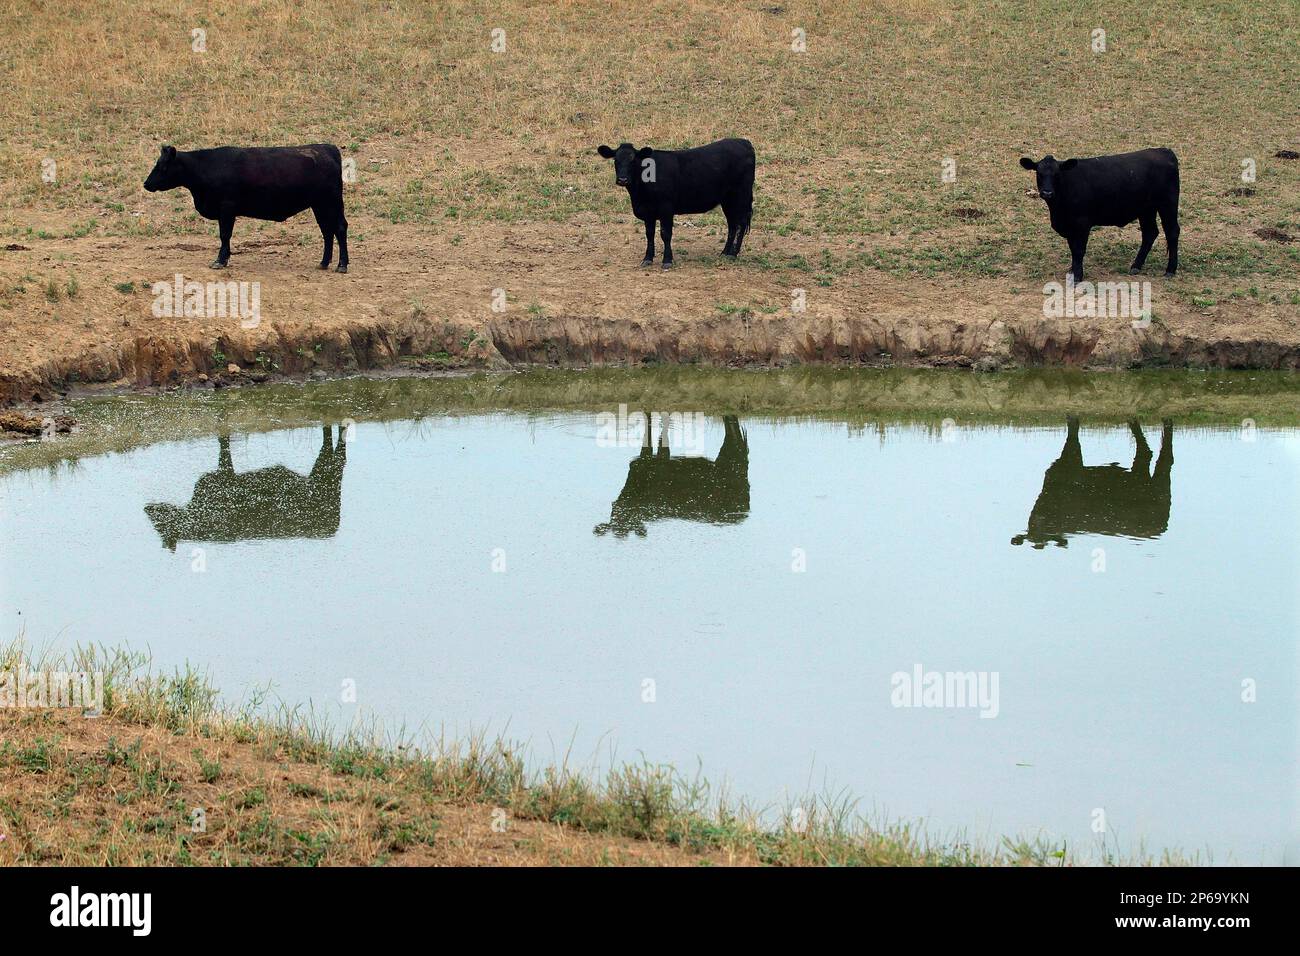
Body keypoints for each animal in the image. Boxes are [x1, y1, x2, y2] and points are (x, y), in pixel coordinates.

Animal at [143, 144, 349, 272]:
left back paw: (342, 265)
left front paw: (220, 260)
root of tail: (326, 148)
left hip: (332, 202)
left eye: (162, 166)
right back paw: (324, 263)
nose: (146, 184)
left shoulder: (226, 208)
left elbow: (225, 235)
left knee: (339, 228)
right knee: (327, 231)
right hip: (319, 205)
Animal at [144, 426, 347, 550]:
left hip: (324, 479)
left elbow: (224, 445)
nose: (146, 508)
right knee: (329, 441)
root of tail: (332, 527)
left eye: (158, 524)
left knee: (338, 455)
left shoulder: (224, 476)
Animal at [595, 138, 755, 268]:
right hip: (727, 200)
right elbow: (649, 234)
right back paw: (724, 253)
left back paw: (732, 254)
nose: (622, 179)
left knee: (740, 223)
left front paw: (667, 260)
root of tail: (743, 142)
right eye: (615, 160)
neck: (639, 195)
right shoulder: (648, 212)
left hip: (740, 195)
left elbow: (665, 234)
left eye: (633, 160)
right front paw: (647, 258)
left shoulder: (666, 208)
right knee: (732, 224)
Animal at [1011, 417, 1173, 549]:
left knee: (1159, 458)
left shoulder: (1073, 463)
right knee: (1147, 453)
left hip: (1154, 486)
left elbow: (1073, 430)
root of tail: (1160, 527)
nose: (1040, 519)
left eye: (1047, 531)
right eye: (1032, 529)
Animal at [1019, 148, 1180, 282]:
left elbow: (1078, 250)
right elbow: (1072, 248)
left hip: (1168, 204)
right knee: (1150, 233)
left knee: (1172, 232)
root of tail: (1165, 151)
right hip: (1147, 209)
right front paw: (1072, 270)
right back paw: (1136, 266)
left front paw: (1078, 276)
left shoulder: (1082, 224)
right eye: (1039, 173)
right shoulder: (1070, 226)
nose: (1047, 193)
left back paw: (1170, 270)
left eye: (1057, 174)